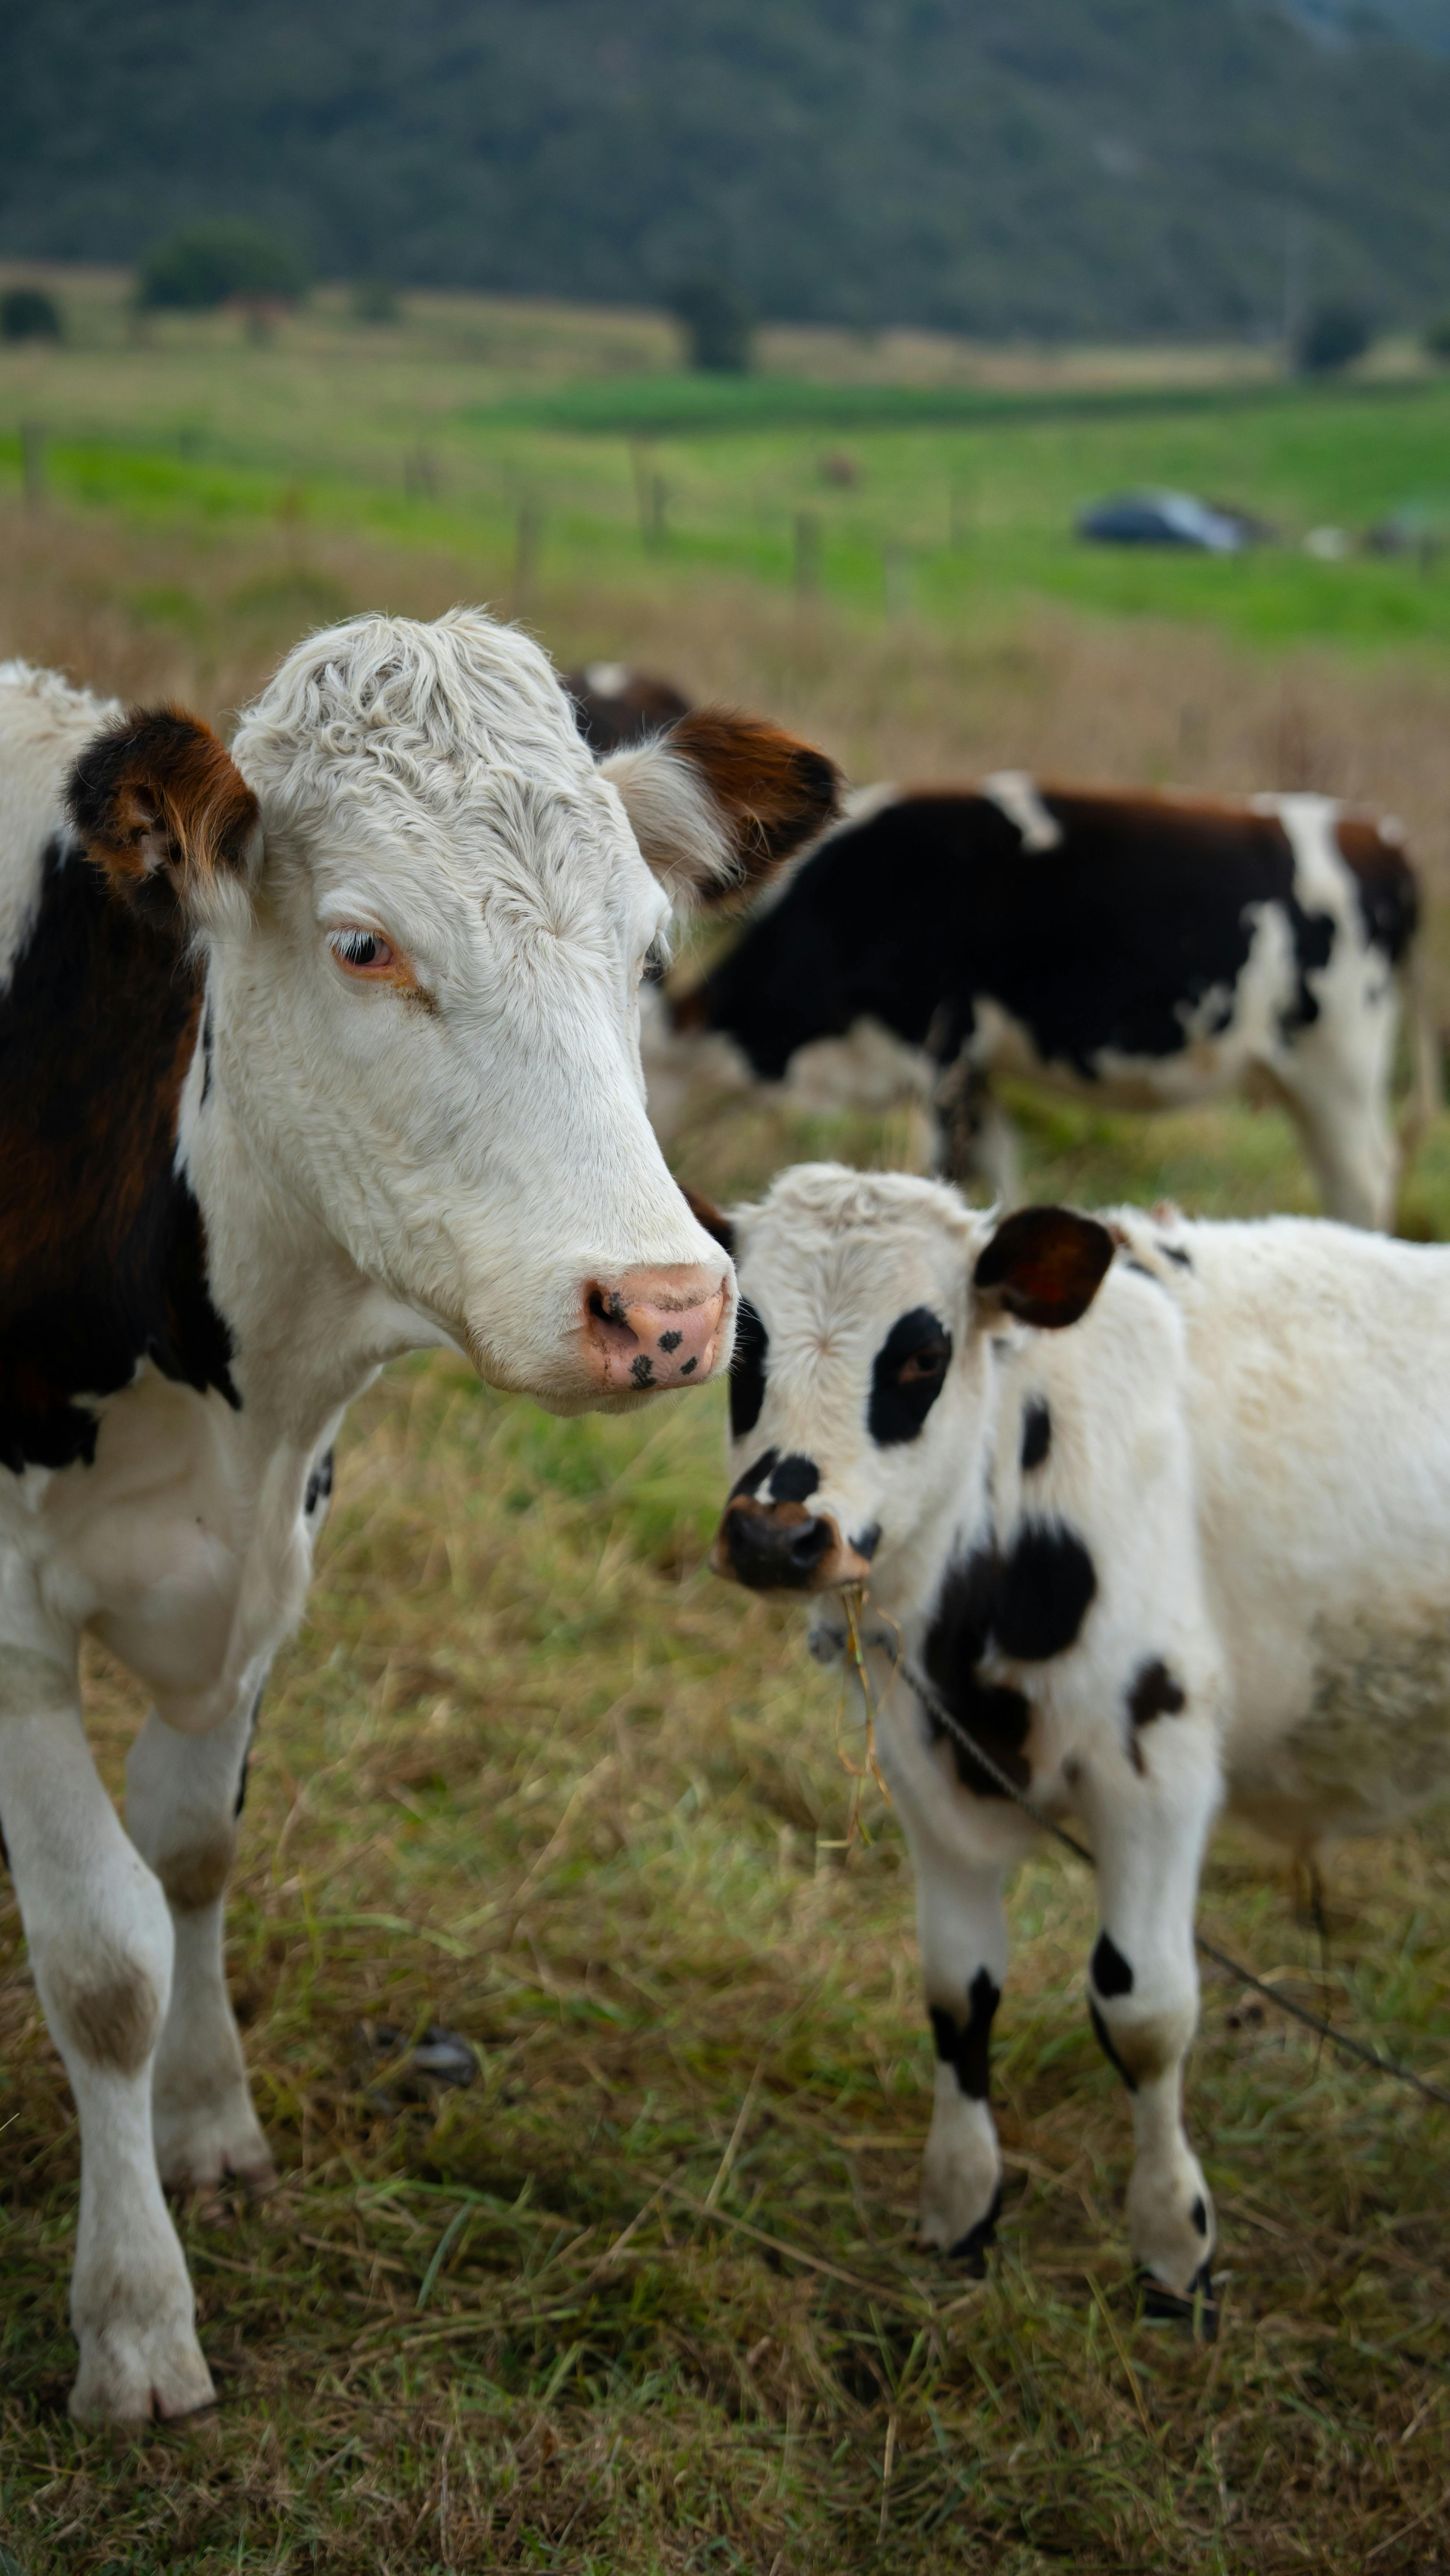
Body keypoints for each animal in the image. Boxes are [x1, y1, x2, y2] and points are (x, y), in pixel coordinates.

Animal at [647, 779, 1436, 1229]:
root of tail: (1380, 835)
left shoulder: (937, 1055)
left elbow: (937, 1176)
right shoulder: (976, 1069)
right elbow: (996, 1178)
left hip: (1336, 1068)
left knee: (1361, 1180)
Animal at [699, 1161, 1450, 2307]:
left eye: (921, 1355)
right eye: (742, 1343)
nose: (773, 1535)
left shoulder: (1159, 1768)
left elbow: (1144, 2008)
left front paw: (1174, 2247)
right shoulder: (928, 1778)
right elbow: (957, 1990)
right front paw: (961, 2207)